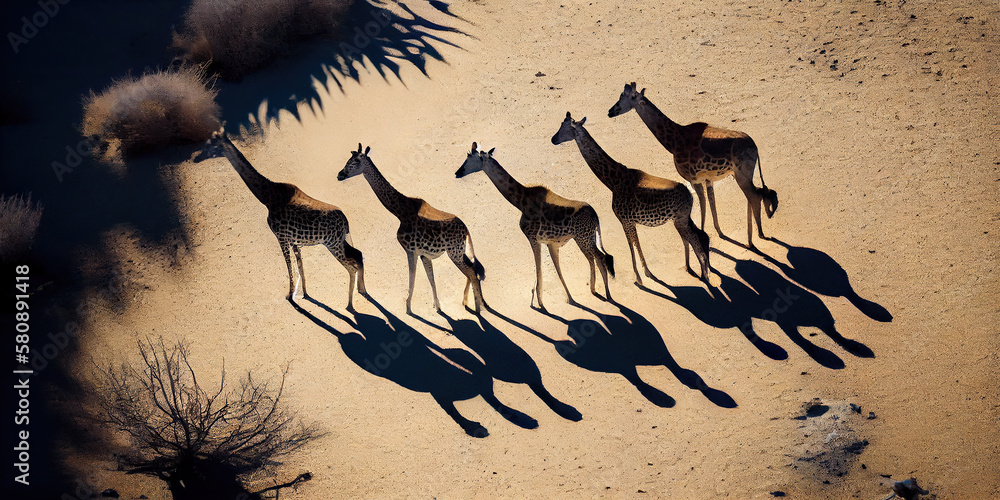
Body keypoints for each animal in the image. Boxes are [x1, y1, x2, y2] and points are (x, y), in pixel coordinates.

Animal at [202, 130, 367, 309]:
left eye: (212, 143)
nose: (197, 156)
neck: (267, 196)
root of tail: (345, 220)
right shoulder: (294, 241)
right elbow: (300, 267)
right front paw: (304, 294)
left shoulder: (281, 237)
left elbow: (291, 268)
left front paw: (290, 296)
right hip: (337, 241)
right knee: (358, 255)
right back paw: (362, 291)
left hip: (333, 243)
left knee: (351, 267)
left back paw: (350, 305)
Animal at [338, 144, 487, 315]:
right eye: (348, 160)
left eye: (355, 161)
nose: (340, 174)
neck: (399, 211)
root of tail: (466, 229)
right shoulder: (424, 254)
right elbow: (430, 279)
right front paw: (437, 306)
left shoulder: (410, 250)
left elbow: (412, 278)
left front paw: (408, 307)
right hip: (459, 252)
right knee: (472, 271)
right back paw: (467, 302)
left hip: (454, 253)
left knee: (472, 273)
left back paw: (477, 308)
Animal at [455, 143, 615, 311]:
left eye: (469, 158)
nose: (458, 172)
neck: (520, 201)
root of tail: (595, 216)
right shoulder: (549, 243)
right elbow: (551, 270)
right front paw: (561, 299)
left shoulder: (533, 239)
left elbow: (540, 270)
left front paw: (540, 303)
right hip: (586, 238)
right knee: (595, 257)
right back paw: (595, 289)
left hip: (584, 238)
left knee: (600, 256)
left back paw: (607, 294)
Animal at [551, 112, 711, 286]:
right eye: (561, 124)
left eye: (564, 127)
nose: (553, 139)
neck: (613, 182)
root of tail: (689, 195)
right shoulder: (630, 221)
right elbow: (635, 243)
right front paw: (645, 273)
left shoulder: (625, 220)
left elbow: (631, 245)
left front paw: (640, 277)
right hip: (681, 218)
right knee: (696, 236)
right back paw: (695, 269)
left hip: (680, 219)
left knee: (695, 238)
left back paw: (704, 274)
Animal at [608, 82, 778, 248]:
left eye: (624, 96)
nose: (610, 111)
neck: (673, 143)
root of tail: (755, 147)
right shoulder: (708, 179)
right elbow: (711, 203)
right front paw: (719, 231)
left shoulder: (693, 179)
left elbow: (703, 204)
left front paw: (705, 235)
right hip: (744, 173)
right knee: (755, 194)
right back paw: (751, 238)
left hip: (742, 174)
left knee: (754, 196)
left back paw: (758, 236)